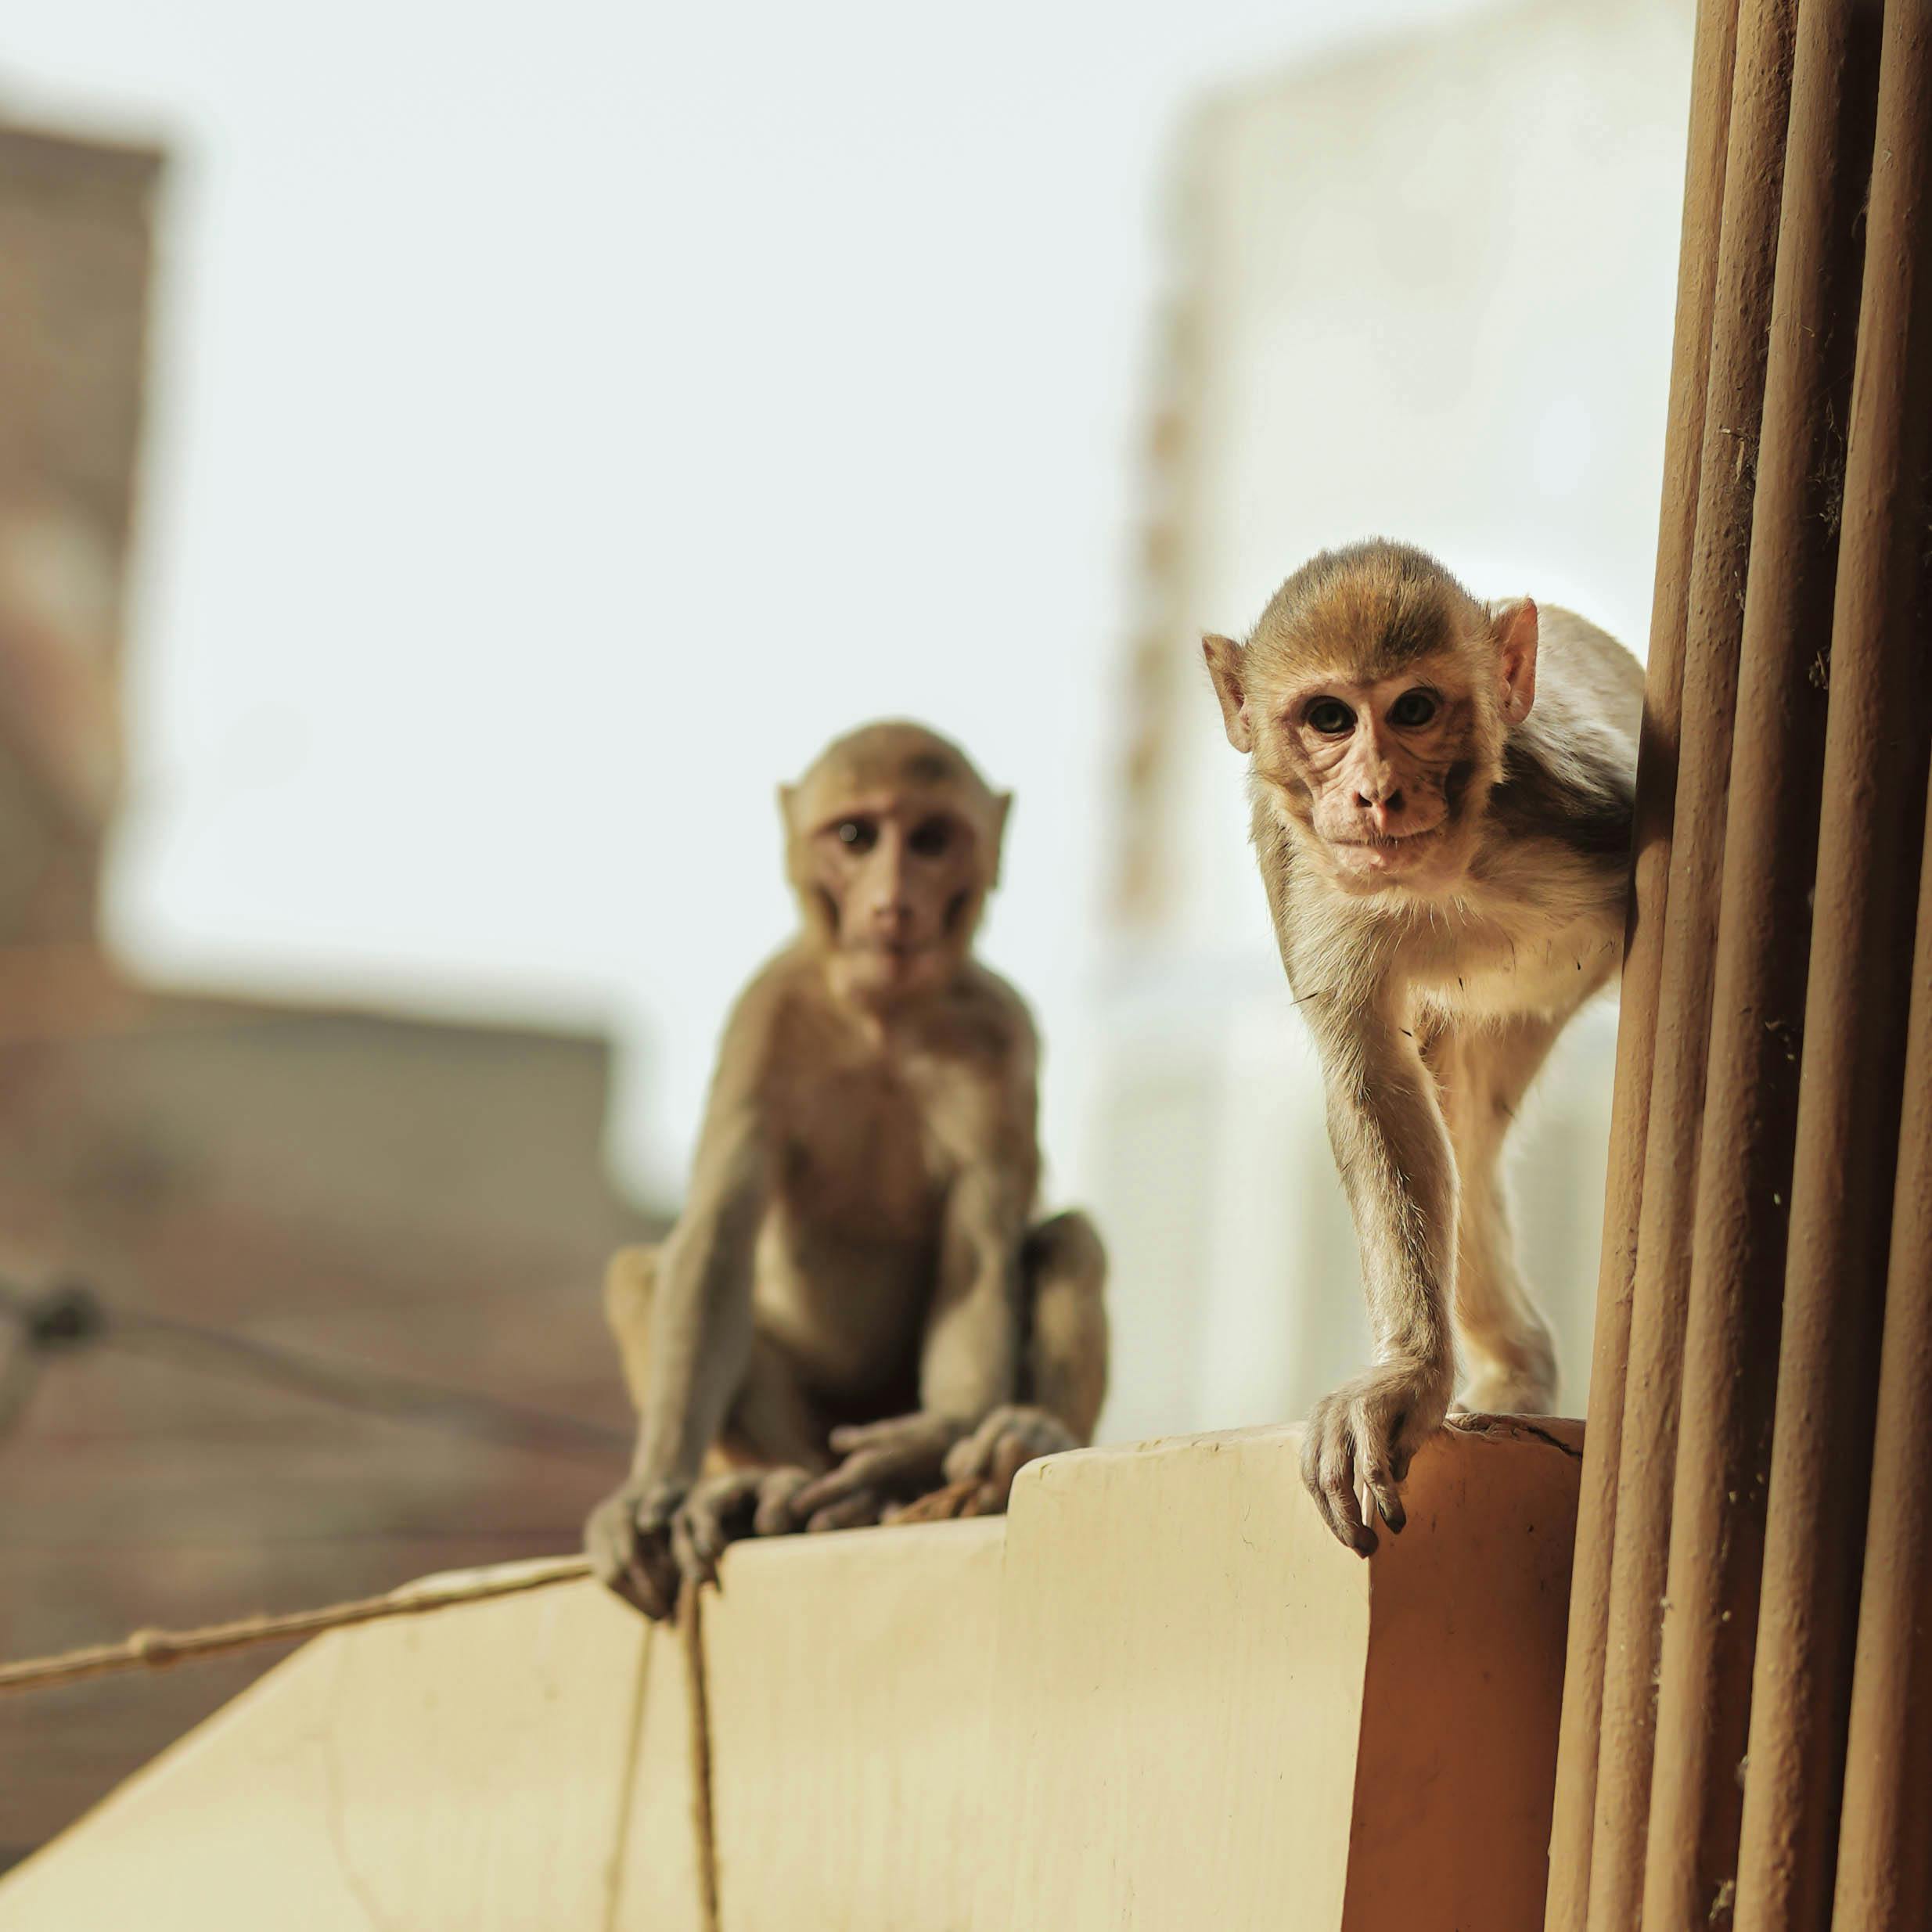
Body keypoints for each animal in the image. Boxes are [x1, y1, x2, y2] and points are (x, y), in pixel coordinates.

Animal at [585, 720, 1108, 1617]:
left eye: (930, 840)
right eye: (856, 836)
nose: (892, 902)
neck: (883, 1018)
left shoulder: (1001, 1036)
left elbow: (980, 1252)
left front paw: (932, 1440)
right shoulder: (764, 1013)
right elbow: (717, 1240)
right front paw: (652, 1491)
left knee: (1070, 1239)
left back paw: (1000, 1446)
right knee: (641, 1271)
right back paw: (778, 1489)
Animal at [1201, 539, 1642, 1557]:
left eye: (1414, 708)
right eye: (1329, 717)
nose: (1376, 791)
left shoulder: (1591, 794)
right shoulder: (1300, 872)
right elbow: (1377, 1087)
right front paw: (1408, 1377)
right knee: (1464, 1131)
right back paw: (1517, 1370)